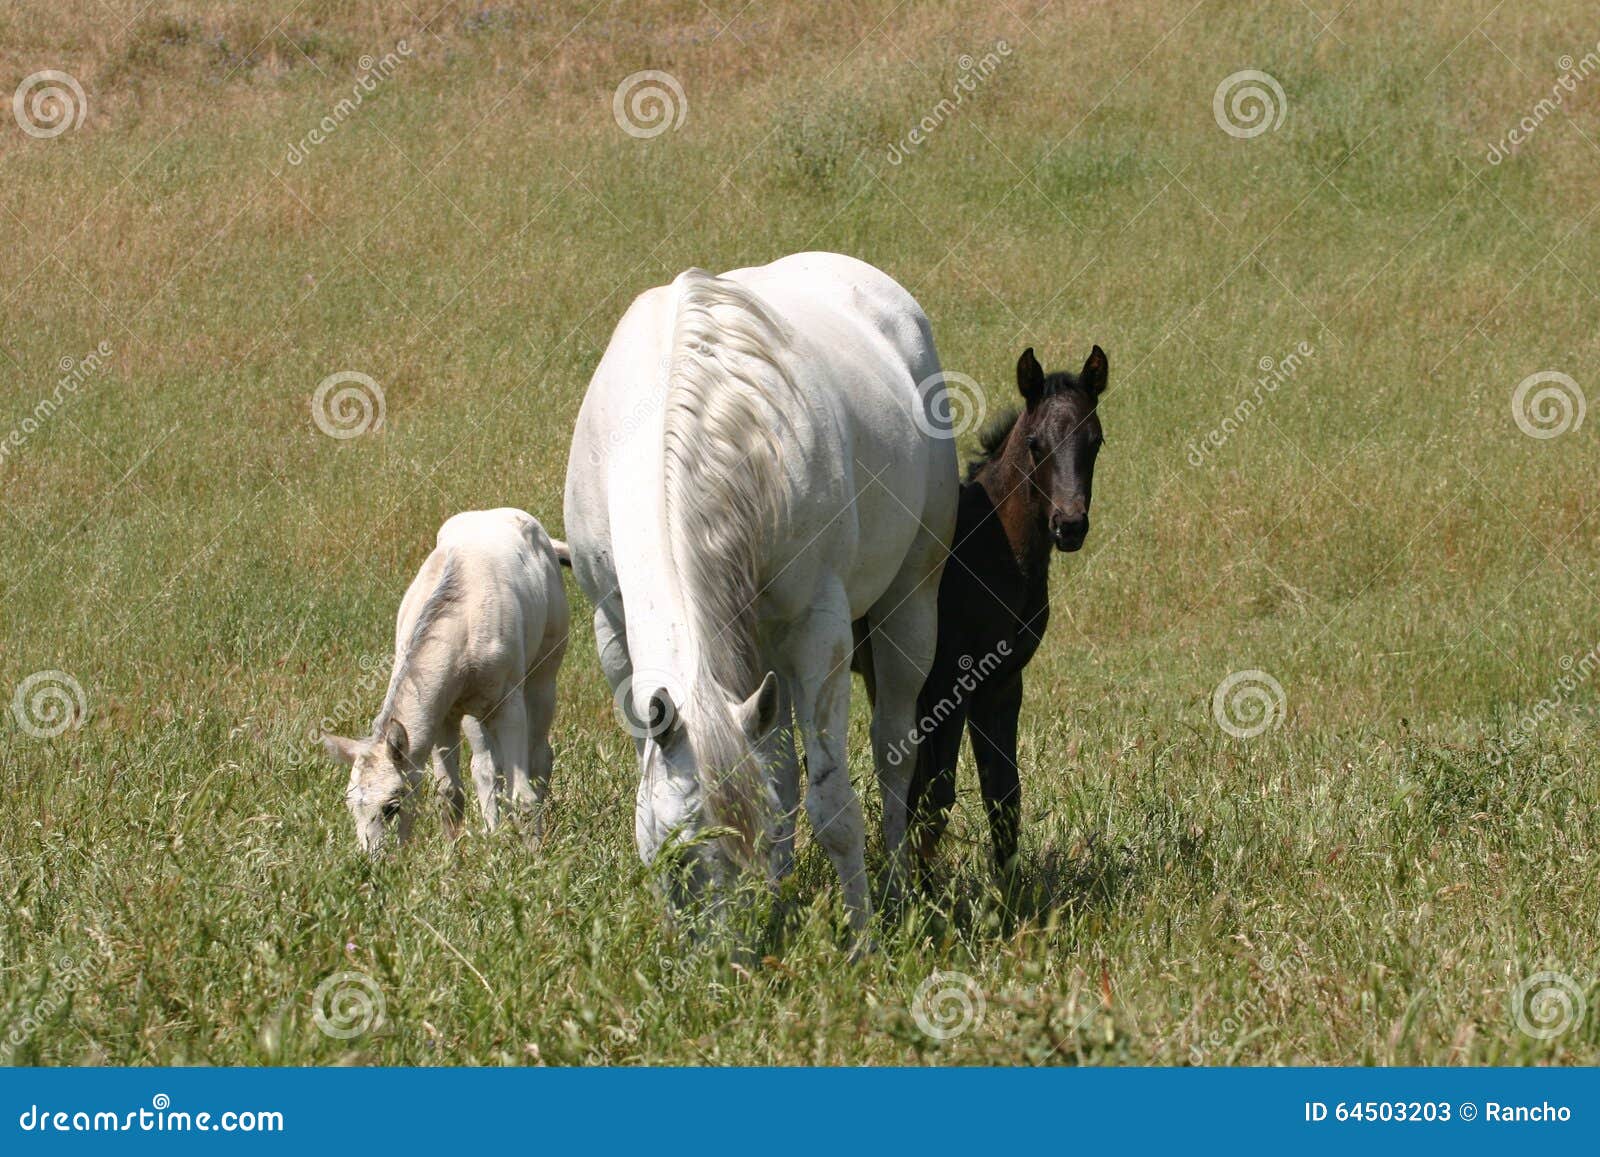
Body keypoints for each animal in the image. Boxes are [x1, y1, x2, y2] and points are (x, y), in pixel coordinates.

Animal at [322, 508, 571, 853]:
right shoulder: (443, 714)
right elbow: (449, 794)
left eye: (391, 806)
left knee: (540, 758)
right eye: (350, 805)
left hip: (543, 679)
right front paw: (453, 855)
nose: (373, 860)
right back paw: (493, 831)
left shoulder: (509, 707)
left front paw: (533, 856)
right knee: (486, 766)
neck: (463, 620)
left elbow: (522, 793)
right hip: (473, 712)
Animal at [563, 252, 957, 940]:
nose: (725, 960)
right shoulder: (611, 629)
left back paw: (900, 890)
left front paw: (863, 943)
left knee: (893, 750)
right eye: (677, 856)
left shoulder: (818, 631)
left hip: (908, 606)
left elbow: (832, 804)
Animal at [902, 345, 1107, 878]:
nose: (1069, 525)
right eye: (1035, 443)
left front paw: (1011, 891)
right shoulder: (946, 683)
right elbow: (934, 797)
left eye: (1096, 441)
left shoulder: (1001, 683)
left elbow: (1004, 793)